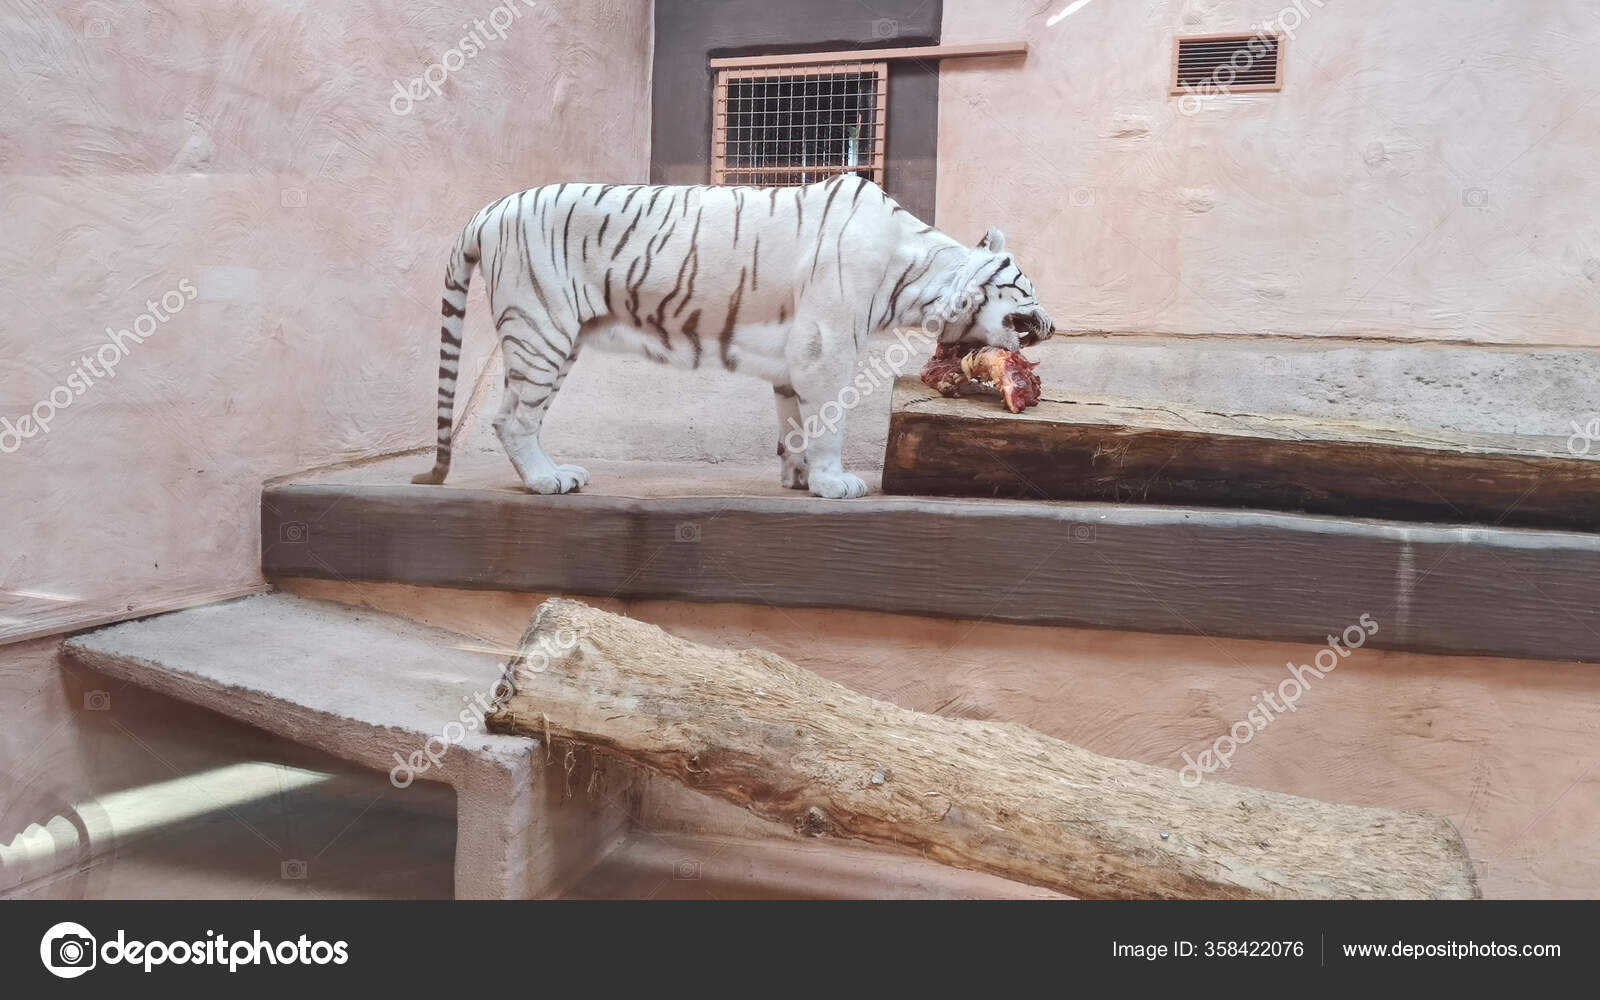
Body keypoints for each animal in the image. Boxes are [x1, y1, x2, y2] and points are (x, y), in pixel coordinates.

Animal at [412, 174, 1054, 499]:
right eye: (1027, 287)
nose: (1051, 326)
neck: (919, 272)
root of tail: (491, 208)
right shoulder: (826, 347)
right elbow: (830, 421)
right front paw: (834, 483)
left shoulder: (796, 356)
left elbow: (795, 423)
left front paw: (799, 478)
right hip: (542, 327)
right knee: (512, 419)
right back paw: (549, 480)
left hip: (556, 338)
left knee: (518, 413)